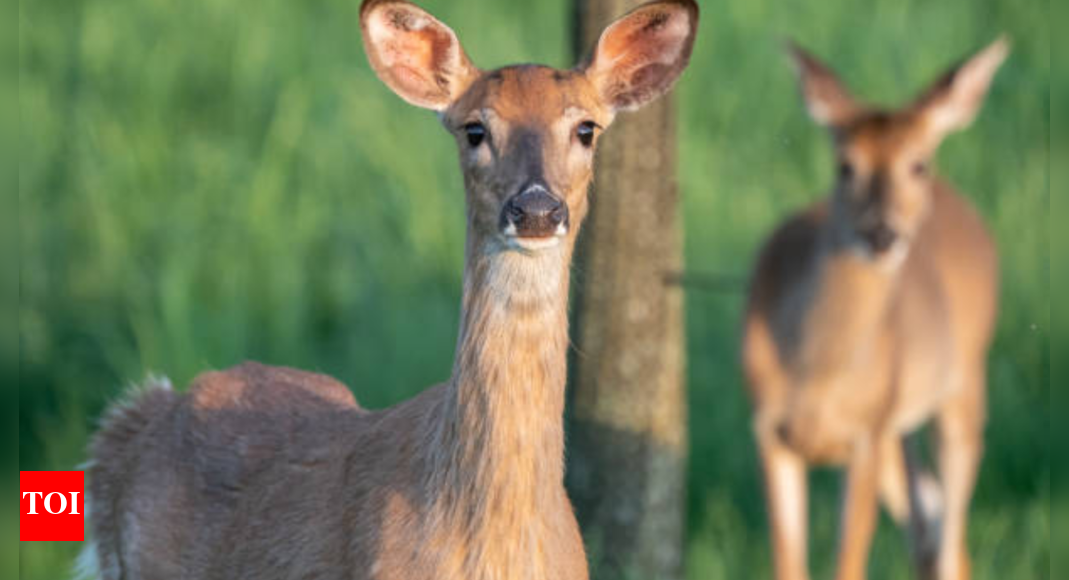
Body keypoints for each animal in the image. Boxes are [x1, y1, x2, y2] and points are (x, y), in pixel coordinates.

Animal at [741, 38, 1007, 580]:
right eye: (845, 165)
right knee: (930, 524)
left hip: (962, 387)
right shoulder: (769, 430)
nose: (881, 235)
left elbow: (848, 561)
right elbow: (788, 562)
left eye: (918, 164)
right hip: (897, 429)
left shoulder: (866, 433)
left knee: (950, 532)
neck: (816, 373)